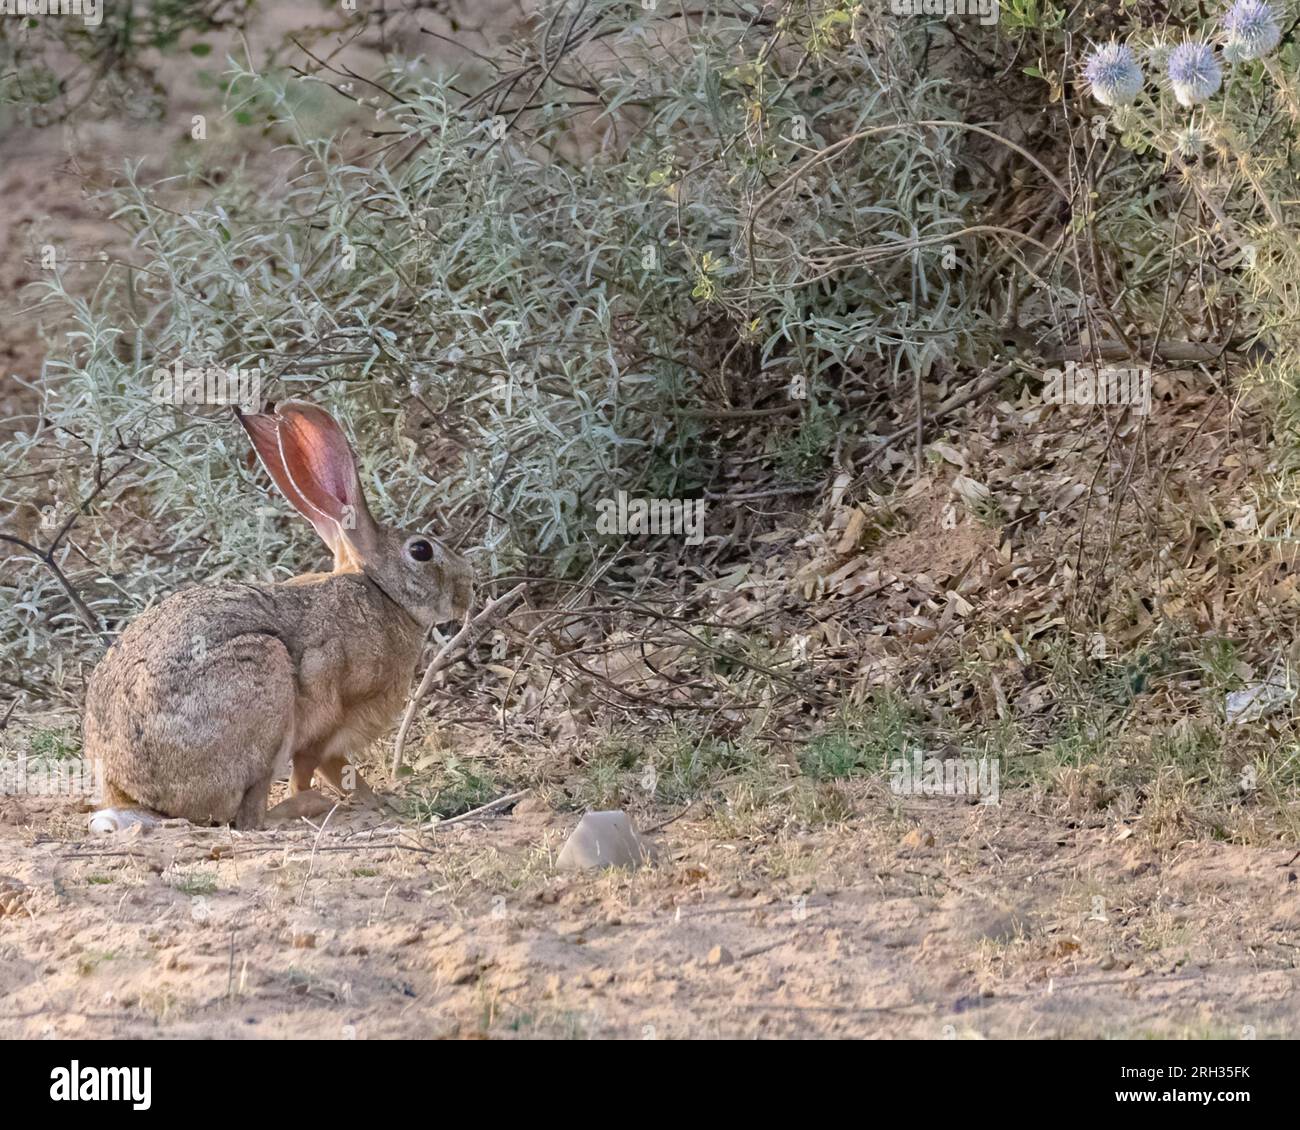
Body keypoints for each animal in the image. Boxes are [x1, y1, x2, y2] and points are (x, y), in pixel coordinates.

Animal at [84, 401, 473, 832]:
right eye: (421, 550)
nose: (468, 586)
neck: (382, 591)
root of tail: (133, 795)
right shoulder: (330, 712)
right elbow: (324, 766)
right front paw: (373, 801)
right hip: (263, 679)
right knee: (248, 818)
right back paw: (306, 806)